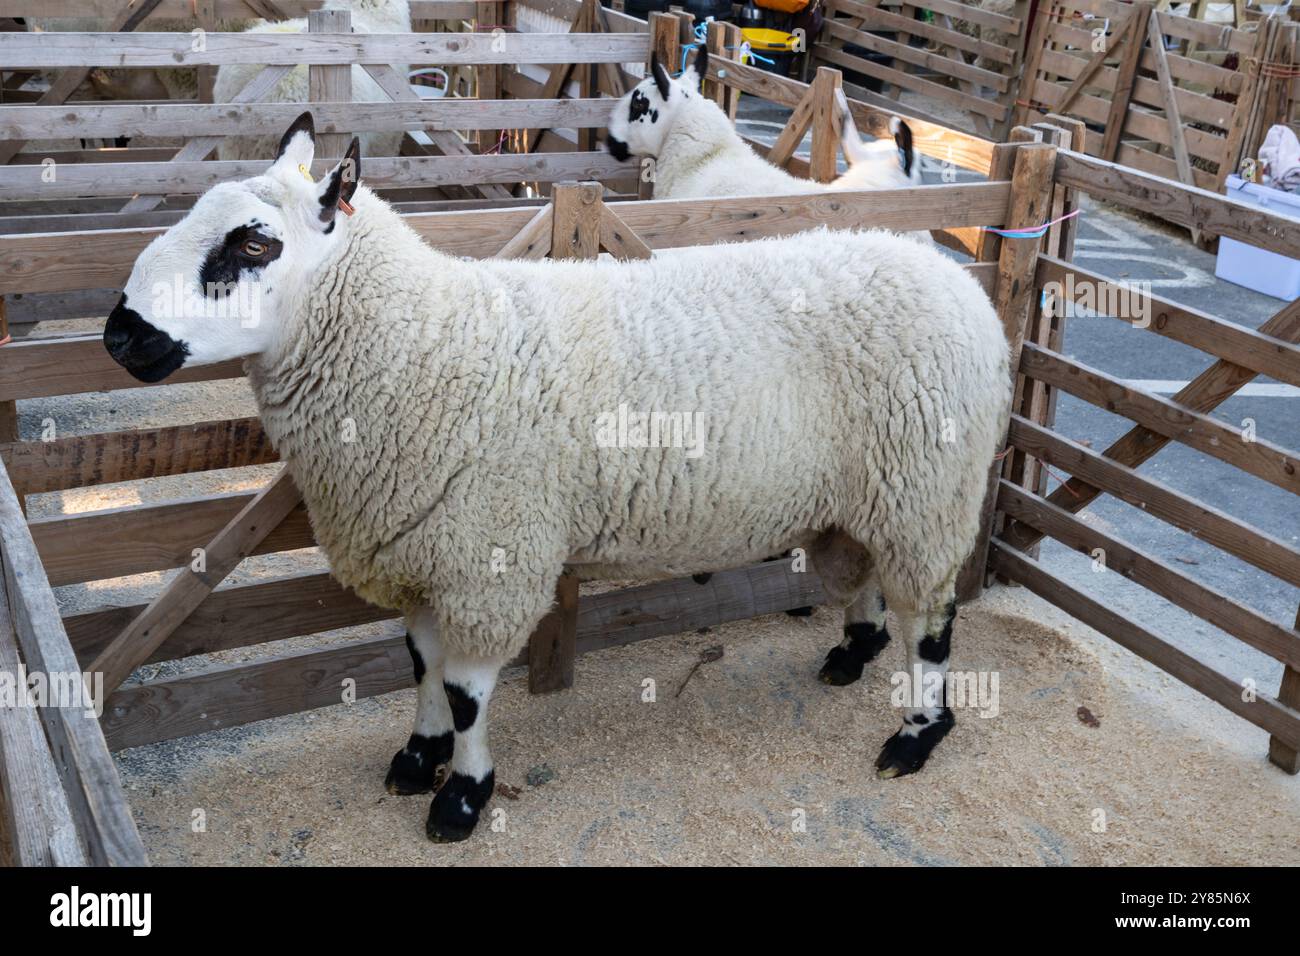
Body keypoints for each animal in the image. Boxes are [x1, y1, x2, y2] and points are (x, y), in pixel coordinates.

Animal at [103, 113, 1011, 843]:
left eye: (254, 243)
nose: (119, 334)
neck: (425, 344)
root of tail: (960, 284)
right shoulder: (428, 552)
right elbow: (420, 666)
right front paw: (416, 757)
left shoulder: (487, 559)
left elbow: (467, 692)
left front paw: (461, 799)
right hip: (876, 495)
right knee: (872, 581)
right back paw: (851, 654)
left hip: (931, 486)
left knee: (931, 620)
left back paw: (915, 734)